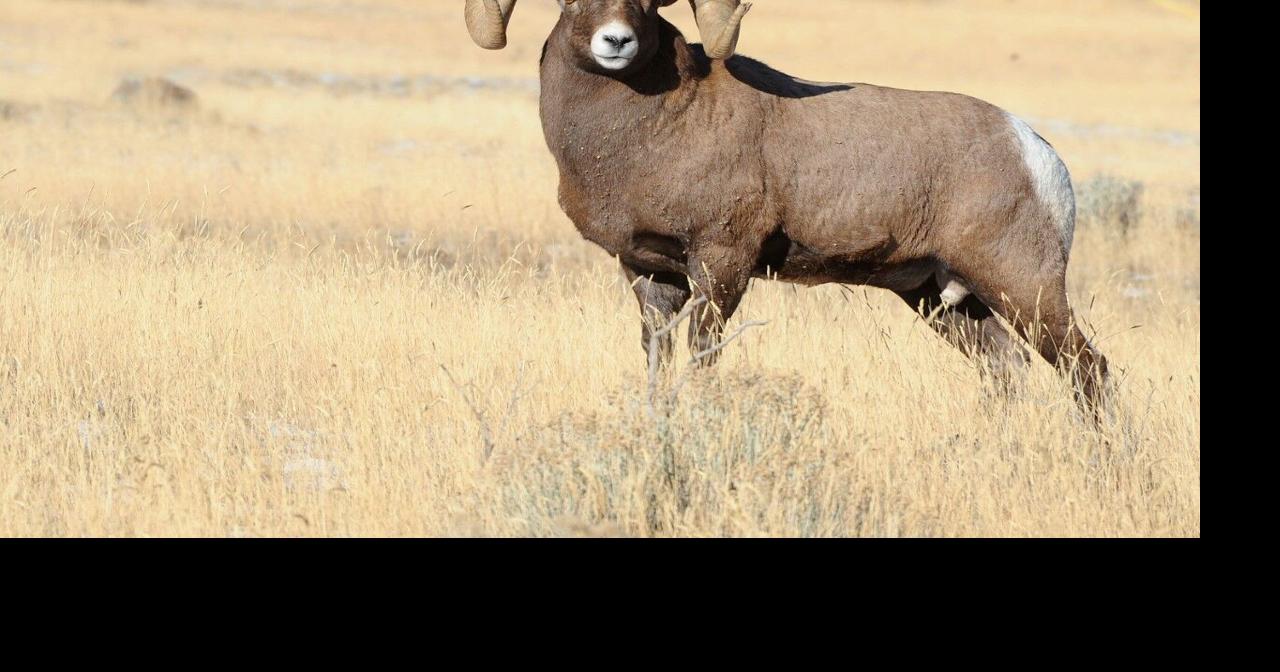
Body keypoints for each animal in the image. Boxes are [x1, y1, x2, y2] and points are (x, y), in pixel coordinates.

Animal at [464, 0, 1110, 417]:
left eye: (645, 0)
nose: (616, 43)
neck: (654, 128)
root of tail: (1035, 148)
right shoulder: (647, 272)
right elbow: (657, 356)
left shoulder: (722, 263)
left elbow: (702, 355)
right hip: (943, 300)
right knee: (1008, 369)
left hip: (1022, 286)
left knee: (1088, 369)